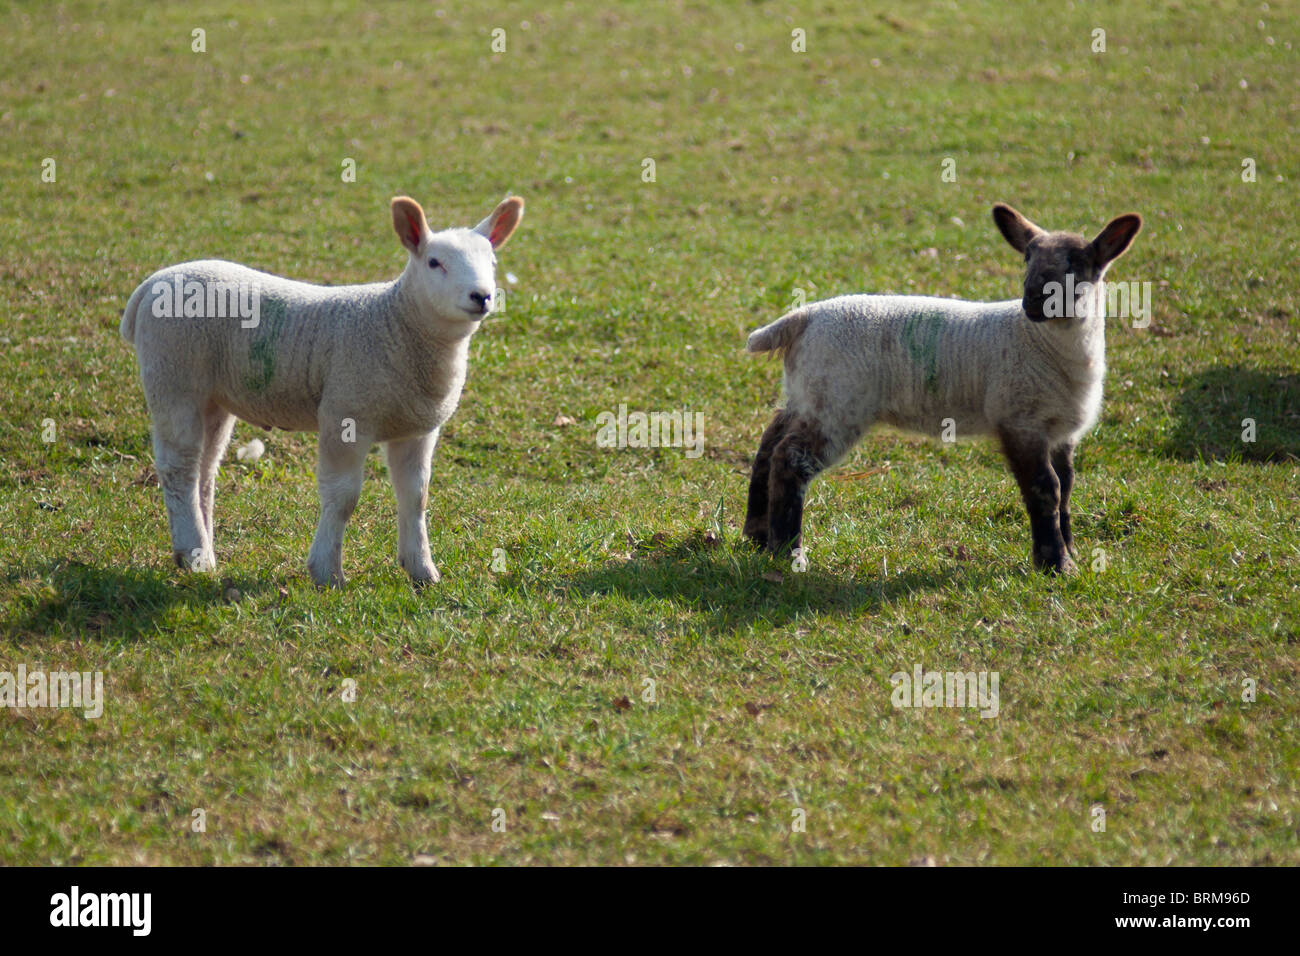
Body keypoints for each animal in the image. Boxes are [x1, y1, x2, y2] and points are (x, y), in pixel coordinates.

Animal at [120, 195, 524, 587]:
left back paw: (205, 552)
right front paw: (327, 572)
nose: (482, 296)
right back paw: (193, 554)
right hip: (173, 378)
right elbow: (343, 496)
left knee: (205, 469)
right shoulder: (345, 413)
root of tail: (151, 283)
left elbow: (416, 496)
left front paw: (422, 569)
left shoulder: (417, 429)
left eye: (492, 261)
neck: (395, 324)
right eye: (435, 262)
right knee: (179, 466)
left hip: (213, 397)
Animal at [742, 203, 1142, 574]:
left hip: (806, 394)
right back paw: (787, 552)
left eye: (1078, 264)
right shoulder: (1020, 420)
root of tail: (804, 317)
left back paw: (757, 538)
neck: (1039, 341)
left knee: (767, 447)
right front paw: (1055, 563)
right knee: (790, 459)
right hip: (836, 404)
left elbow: (1068, 487)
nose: (1032, 302)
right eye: (1027, 258)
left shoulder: (1062, 432)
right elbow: (1046, 489)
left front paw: (1070, 551)